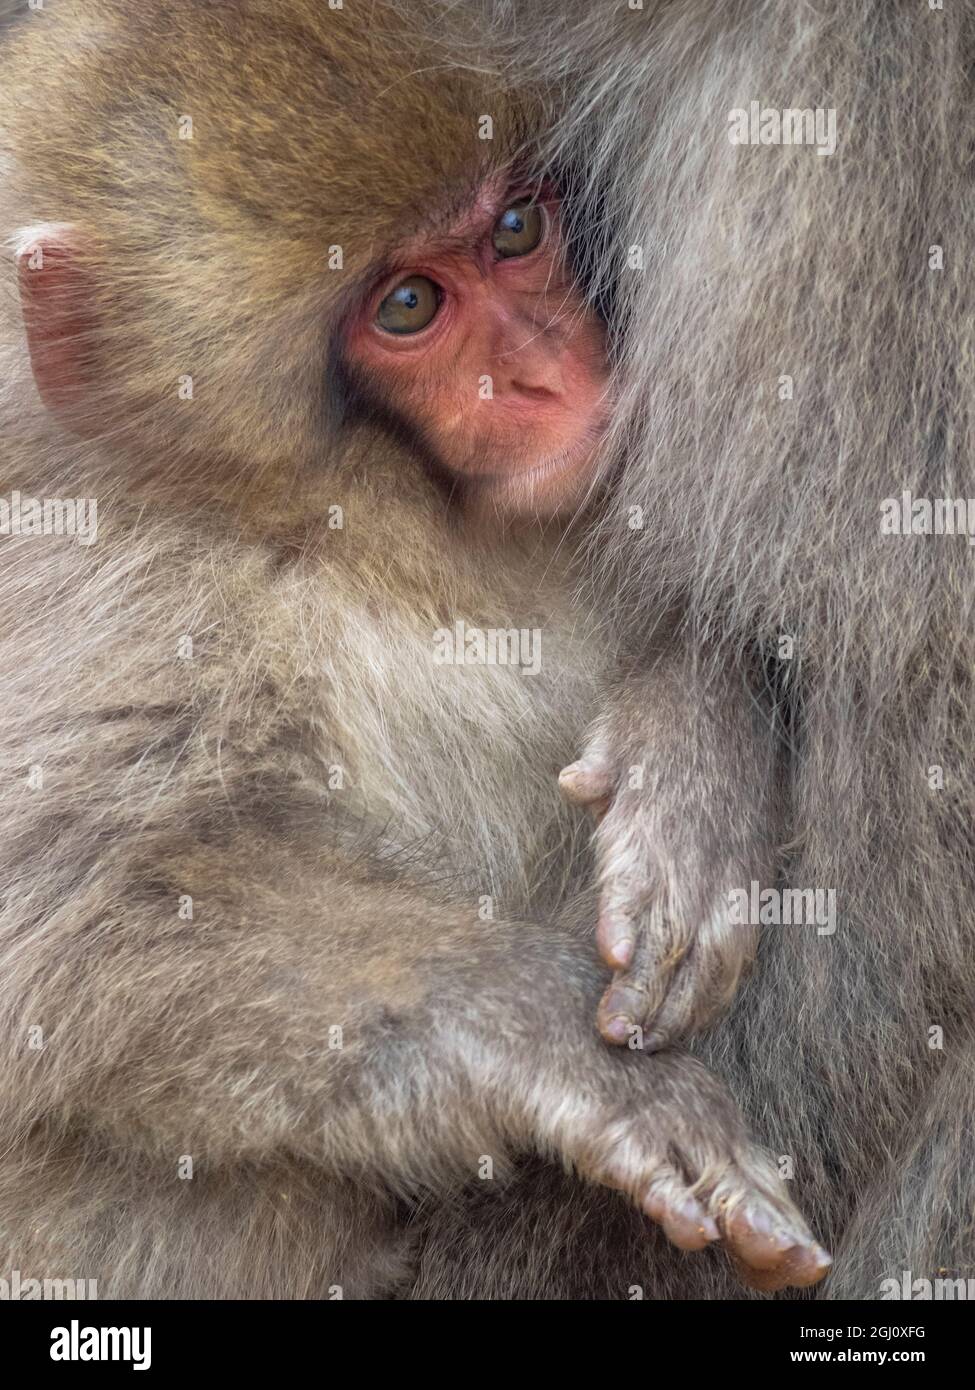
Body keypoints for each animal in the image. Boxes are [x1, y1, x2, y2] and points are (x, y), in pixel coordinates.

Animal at [0, 0, 832, 1298]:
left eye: (516, 229)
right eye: (407, 307)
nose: (547, 369)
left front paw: (693, 762)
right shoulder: (116, 588)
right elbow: (77, 907)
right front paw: (542, 1041)